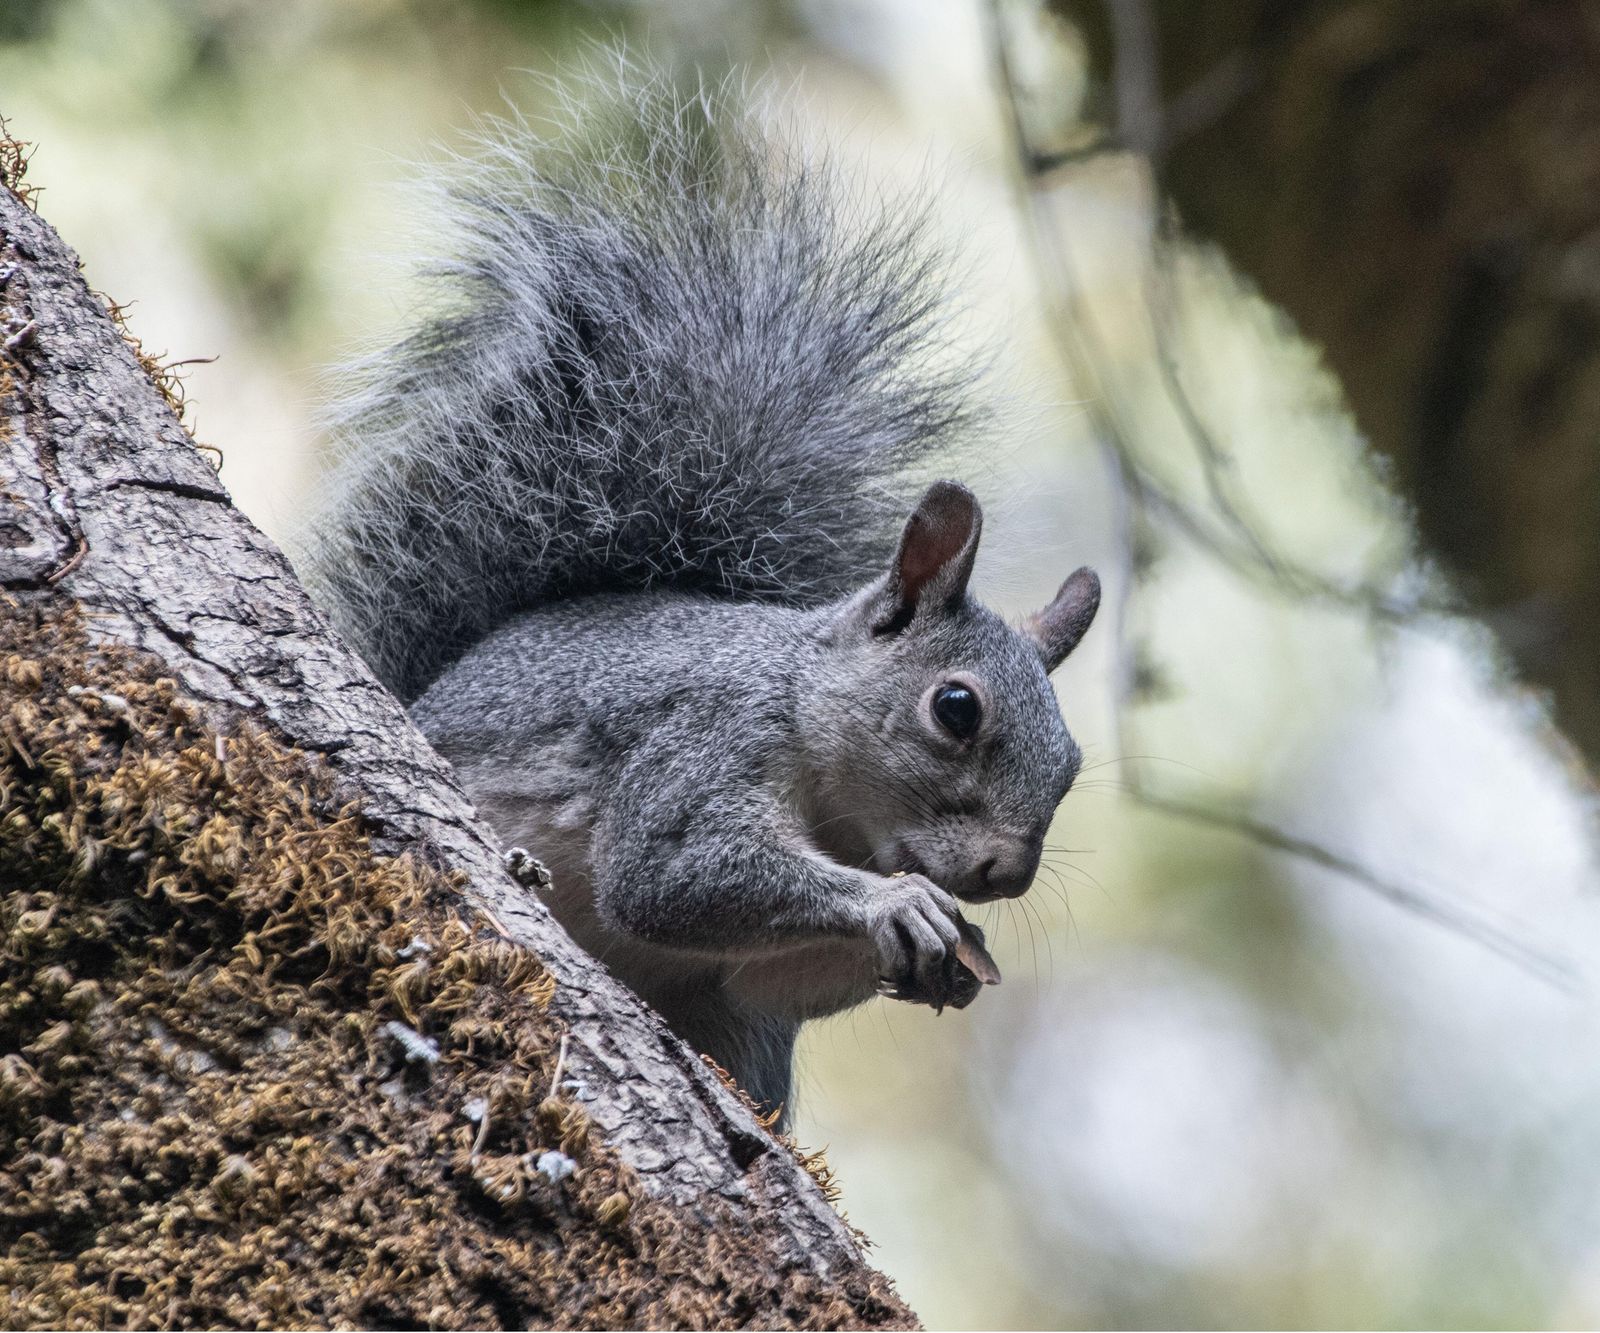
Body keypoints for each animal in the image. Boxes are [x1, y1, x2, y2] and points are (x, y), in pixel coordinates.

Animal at [306, 70, 1100, 1124]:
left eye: (1074, 763)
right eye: (957, 708)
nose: (1005, 875)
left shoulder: (755, 975)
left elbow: (763, 970)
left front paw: (947, 959)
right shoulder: (704, 734)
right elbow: (671, 872)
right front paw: (896, 906)